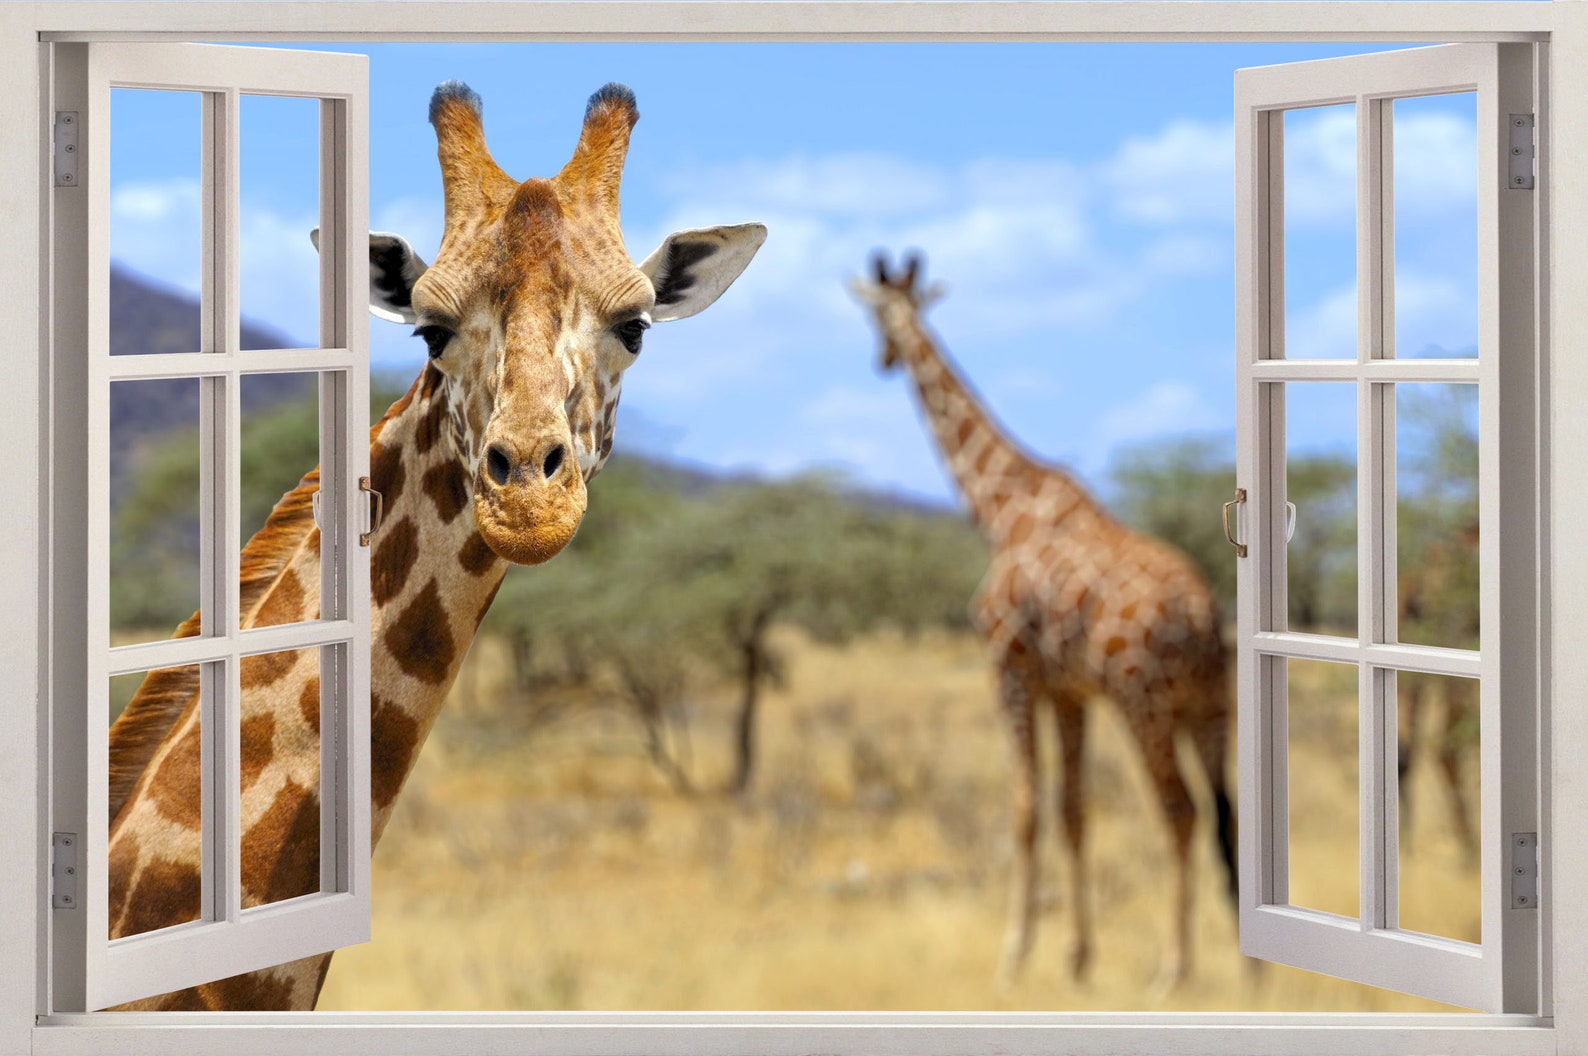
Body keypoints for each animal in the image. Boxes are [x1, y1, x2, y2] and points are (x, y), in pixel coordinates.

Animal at [849, 253, 1235, 989]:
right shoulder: (1069, 690)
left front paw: (1015, 954)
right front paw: (1078, 957)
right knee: (1231, 812)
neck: (1002, 510)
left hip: (1145, 704)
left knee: (1182, 813)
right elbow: (1073, 812)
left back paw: (1175, 967)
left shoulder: (1010, 669)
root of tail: (1204, 615)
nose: (881, 358)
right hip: (1210, 707)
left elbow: (1026, 810)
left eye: (876, 312)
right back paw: (1251, 967)